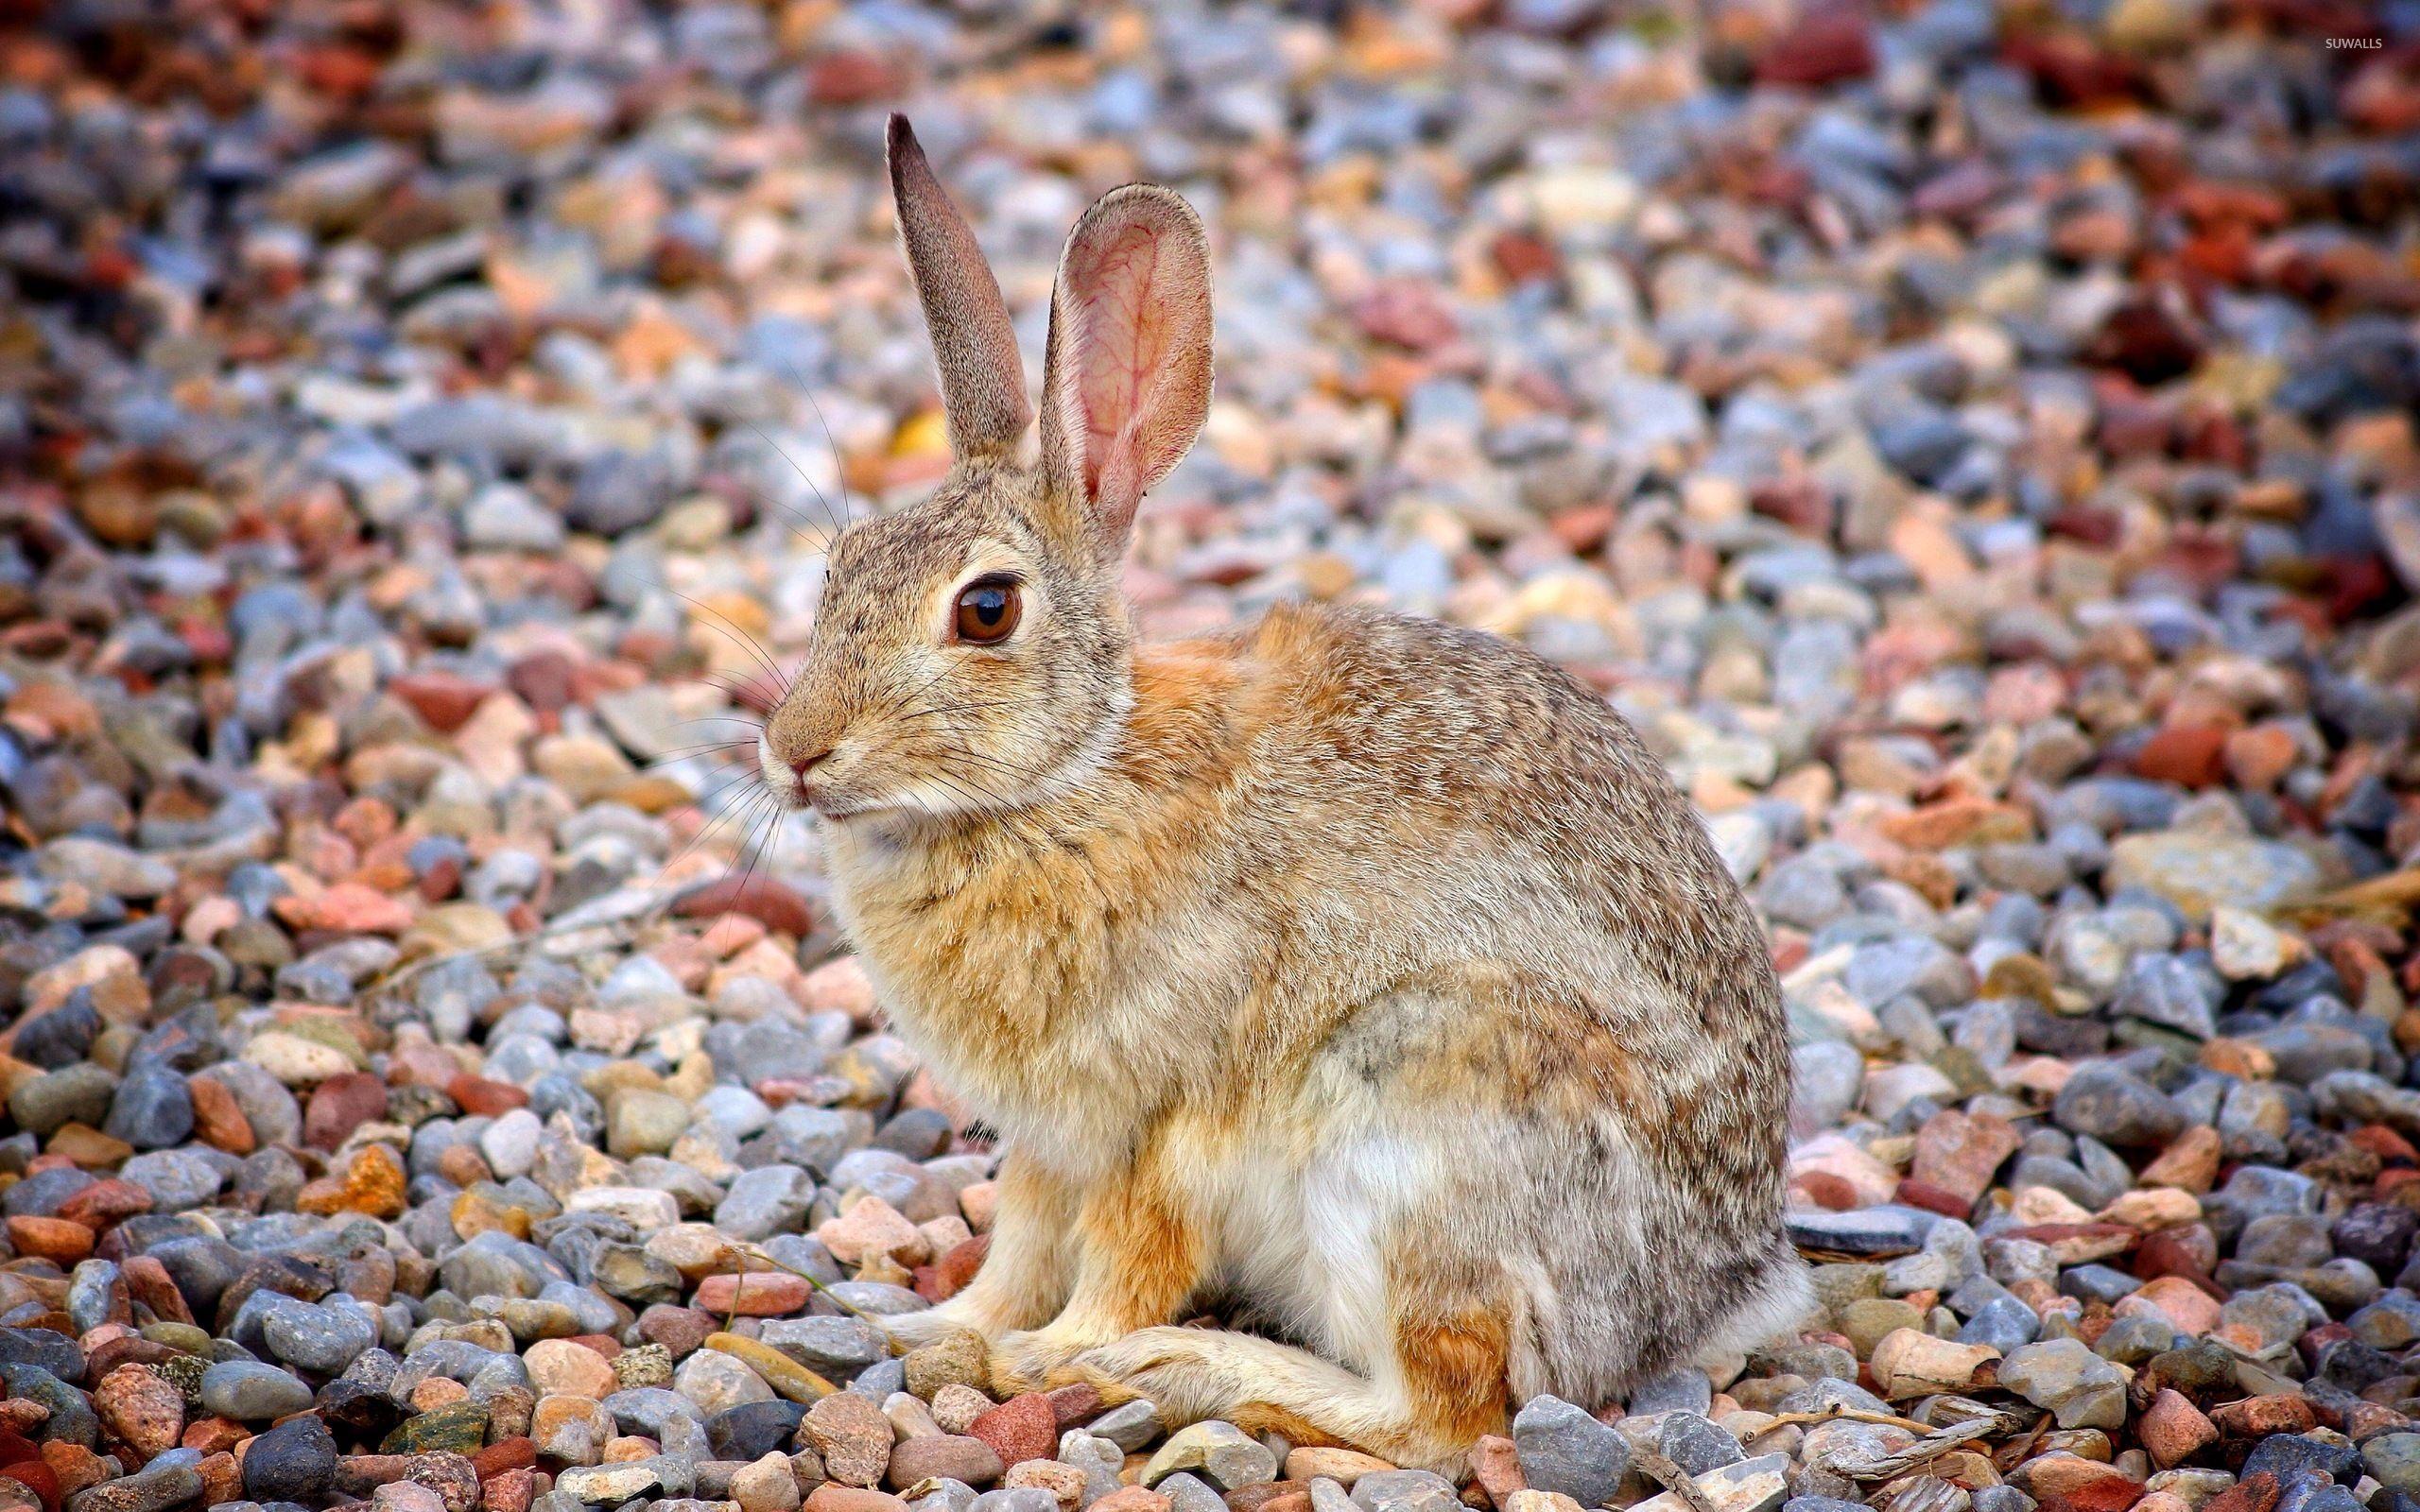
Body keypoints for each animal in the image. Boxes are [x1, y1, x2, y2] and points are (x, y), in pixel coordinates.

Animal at [757, 114, 1811, 1472]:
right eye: (837, 567)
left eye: (985, 609)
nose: (794, 750)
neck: (1069, 777)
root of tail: (1706, 1298)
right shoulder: (1048, 1137)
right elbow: (1021, 1241)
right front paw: (941, 1326)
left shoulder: (1162, 1118)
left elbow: (1125, 1254)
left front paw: (1047, 1357)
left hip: (1416, 1122)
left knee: (1446, 1411)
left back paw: (1194, 1371)